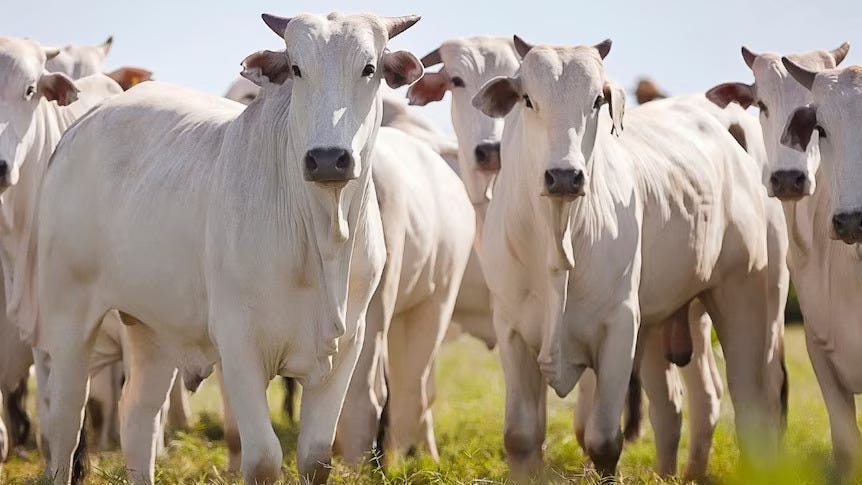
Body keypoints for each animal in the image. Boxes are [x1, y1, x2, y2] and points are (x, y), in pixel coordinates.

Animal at [30, 12, 423, 485]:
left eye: (369, 68)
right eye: (296, 69)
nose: (328, 158)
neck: (322, 238)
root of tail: (81, 127)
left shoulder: (346, 347)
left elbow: (316, 457)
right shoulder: (239, 345)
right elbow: (263, 458)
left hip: (150, 327)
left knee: (138, 414)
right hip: (67, 316)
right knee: (65, 419)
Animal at [472, 37, 783, 479]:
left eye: (596, 101)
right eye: (528, 99)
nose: (564, 176)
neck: (557, 238)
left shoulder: (620, 326)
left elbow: (603, 442)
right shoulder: (511, 330)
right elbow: (521, 437)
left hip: (746, 297)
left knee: (751, 402)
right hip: (669, 319)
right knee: (679, 405)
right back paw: (677, 474)